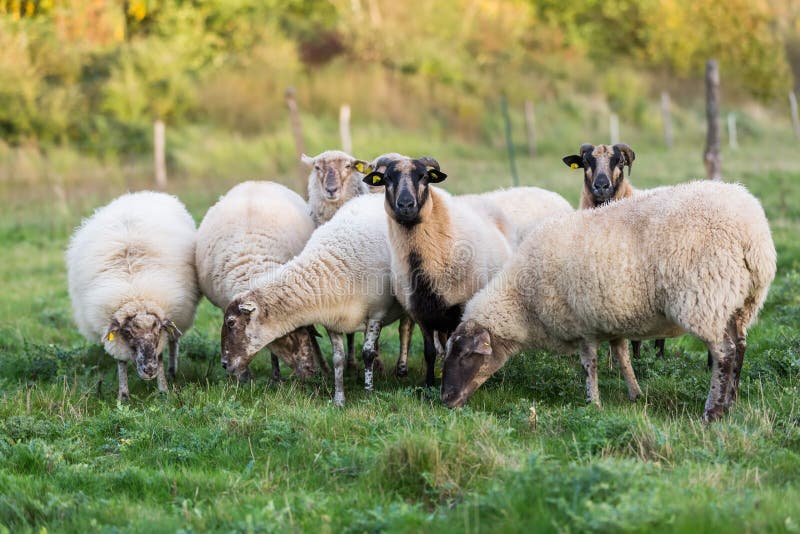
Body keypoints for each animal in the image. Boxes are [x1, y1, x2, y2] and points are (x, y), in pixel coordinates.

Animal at [66, 191, 200, 401]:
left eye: (158, 329)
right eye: (128, 333)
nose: (149, 370)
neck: (135, 290)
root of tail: (141, 193)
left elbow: (160, 356)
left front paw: (163, 390)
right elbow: (121, 362)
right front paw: (123, 396)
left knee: (174, 342)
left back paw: (172, 371)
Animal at [219, 194, 405, 406]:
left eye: (231, 323)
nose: (224, 364)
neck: (331, 267)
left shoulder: (377, 312)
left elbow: (367, 353)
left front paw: (368, 393)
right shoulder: (334, 320)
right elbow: (338, 359)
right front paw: (339, 399)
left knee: (404, 329)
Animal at [361, 156, 514, 387]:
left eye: (424, 177)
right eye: (387, 179)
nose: (406, 205)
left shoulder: (458, 310)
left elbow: (455, 349)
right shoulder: (421, 313)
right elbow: (429, 352)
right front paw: (429, 384)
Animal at [440, 181, 776, 421]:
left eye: (466, 354)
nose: (445, 400)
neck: (523, 300)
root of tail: (752, 232)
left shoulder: (582, 323)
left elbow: (589, 365)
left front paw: (593, 403)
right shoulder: (611, 320)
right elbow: (623, 357)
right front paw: (635, 394)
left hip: (705, 300)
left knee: (724, 354)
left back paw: (712, 412)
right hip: (740, 302)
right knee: (740, 347)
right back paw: (730, 402)